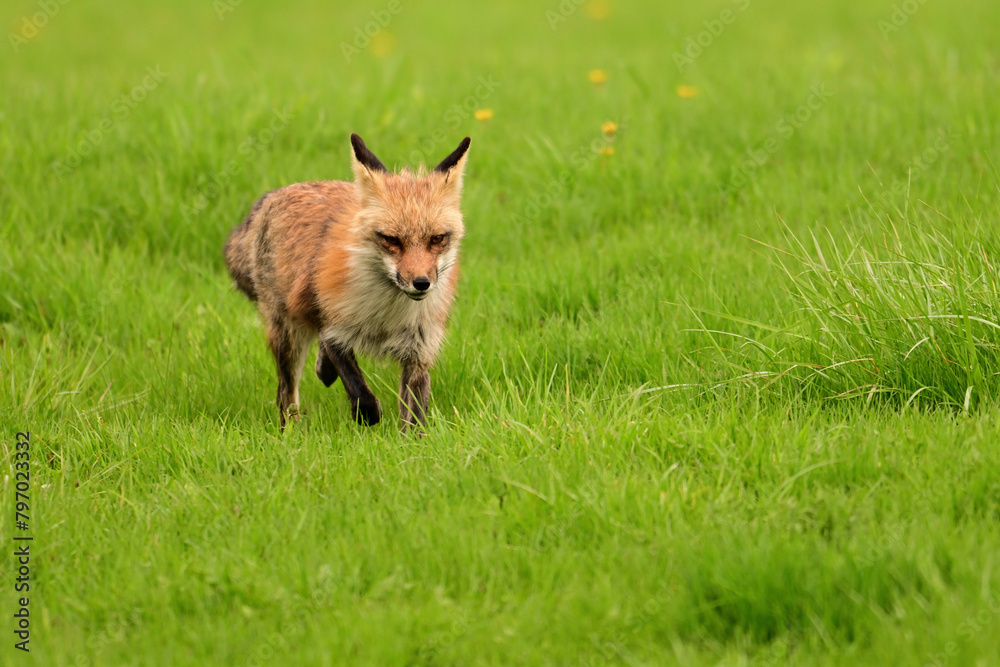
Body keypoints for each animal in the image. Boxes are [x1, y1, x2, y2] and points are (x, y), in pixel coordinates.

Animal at [224, 133, 471, 433]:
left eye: (437, 239)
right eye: (391, 240)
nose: (421, 283)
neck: (387, 317)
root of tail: (271, 196)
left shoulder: (419, 352)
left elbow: (414, 420)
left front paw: (411, 442)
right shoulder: (334, 328)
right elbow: (359, 389)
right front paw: (366, 415)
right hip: (287, 336)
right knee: (286, 395)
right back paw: (289, 433)